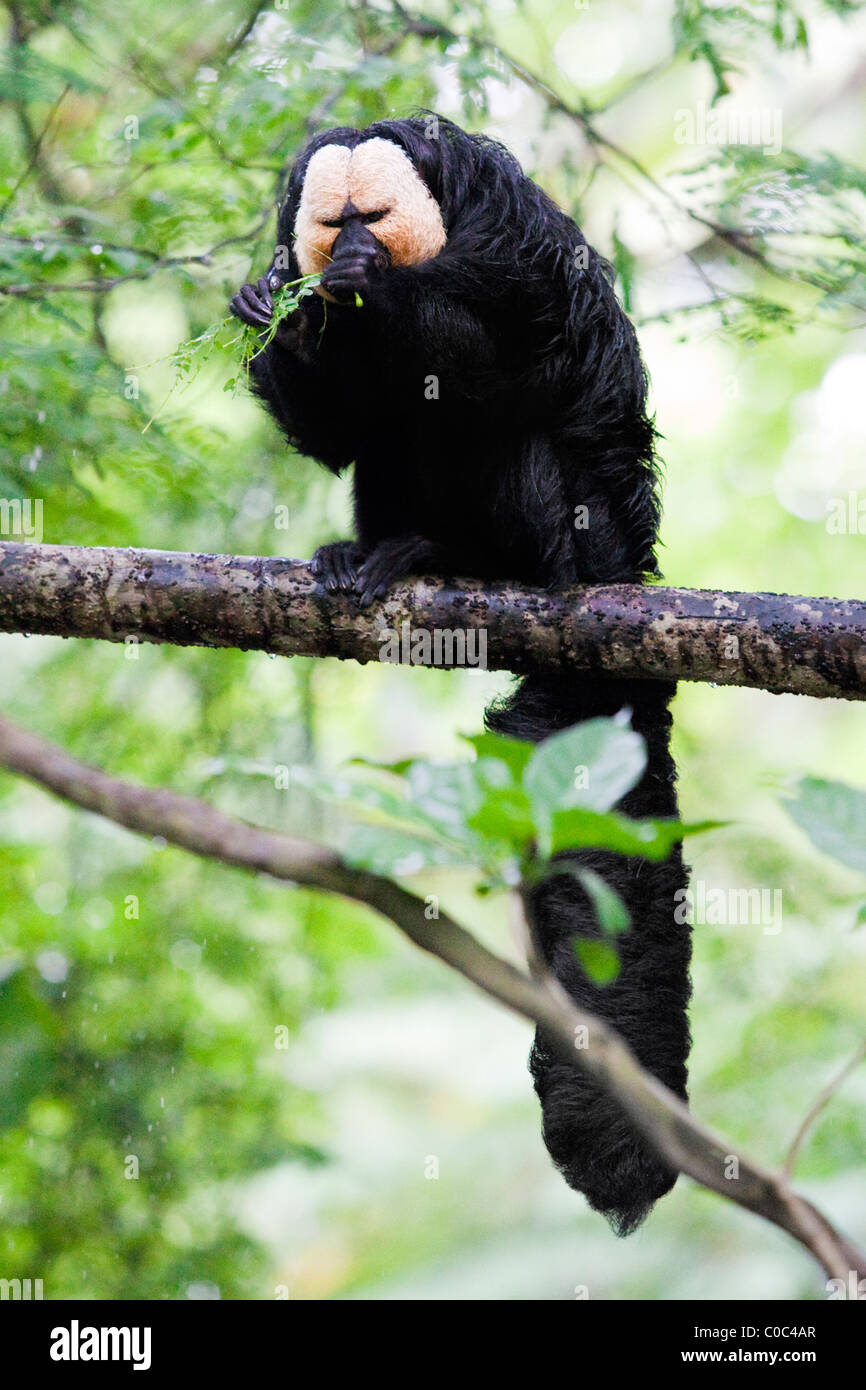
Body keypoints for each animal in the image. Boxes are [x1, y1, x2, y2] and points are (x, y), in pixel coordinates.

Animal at [231, 115, 691, 1235]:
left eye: (371, 217)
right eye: (332, 218)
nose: (350, 247)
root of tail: (630, 567)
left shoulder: (506, 238)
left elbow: (498, 360)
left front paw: (371, 294)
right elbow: (338, 430)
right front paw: (277, 309)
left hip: (583, 538)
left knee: (505, 428)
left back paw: (467, 559)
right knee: (389, 440)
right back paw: (384, 550)